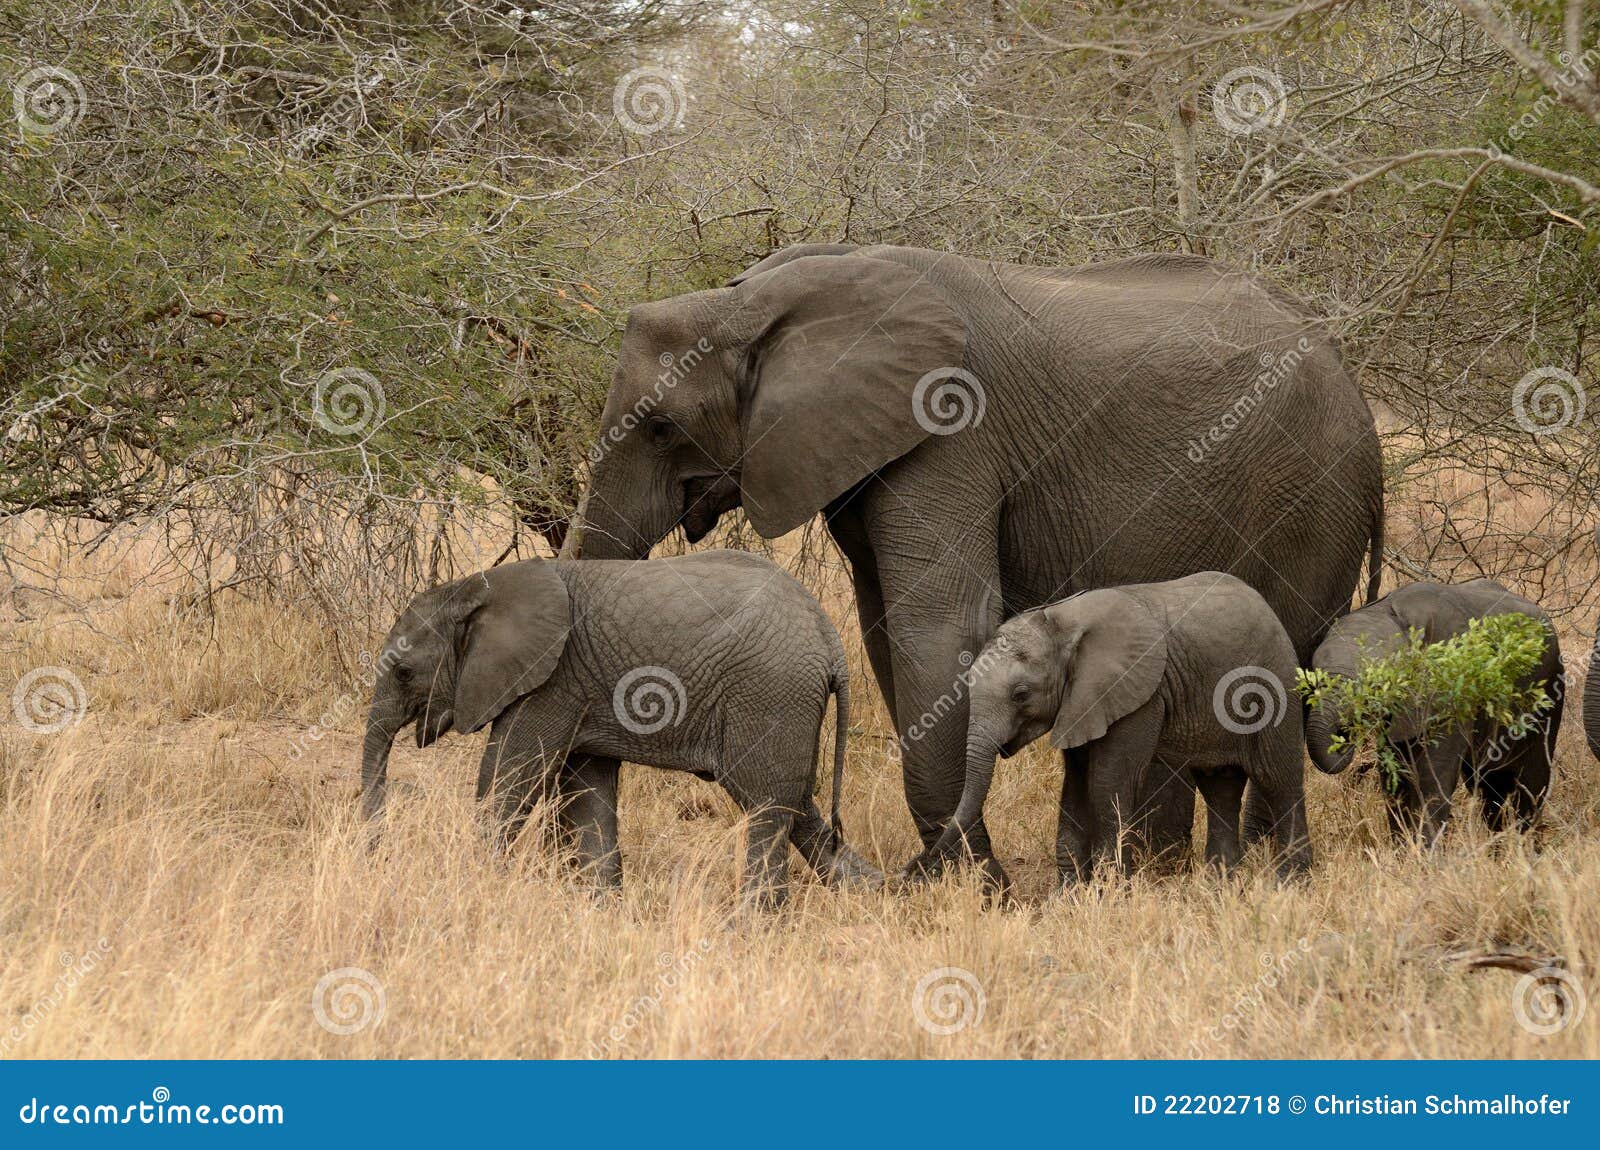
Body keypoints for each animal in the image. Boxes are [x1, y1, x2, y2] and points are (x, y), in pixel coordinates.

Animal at [359, 550, 882, 905]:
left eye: (403, 672)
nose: (376, 856)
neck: (475, 586)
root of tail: (830, 640)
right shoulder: (581, 685)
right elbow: (588, 789)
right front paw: (601, 909)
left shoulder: (553, 681)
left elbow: (512, 774)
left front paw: (478, 882)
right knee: (796, 805)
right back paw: (874, 890)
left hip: (770, 691)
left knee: (767, 805)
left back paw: (753, 926)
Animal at [908, 572, 1312, 886]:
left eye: (1021, 694)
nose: (913, 869)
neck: (1060, 623)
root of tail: (1269, 611)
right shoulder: (1080, 703)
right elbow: (1075, 784)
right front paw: (1070, 896)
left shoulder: (1138, 695)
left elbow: (1108, 781)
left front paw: (1110, 891)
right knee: (1220, 786)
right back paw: (1219, 887)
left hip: (1273, 685)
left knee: (1279, 779)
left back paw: (1289, 884)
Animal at [1305, 578, 1562, 846]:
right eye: (1314, 680)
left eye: (1374, 684)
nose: (1344, 737)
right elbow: (1395, 777)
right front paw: (1403, 850)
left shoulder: (1453, 685)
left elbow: (1433, 775)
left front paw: (1426, 852)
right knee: (1490, 789)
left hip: (1548, 693)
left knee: (1531, 784)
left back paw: (1527, 845)